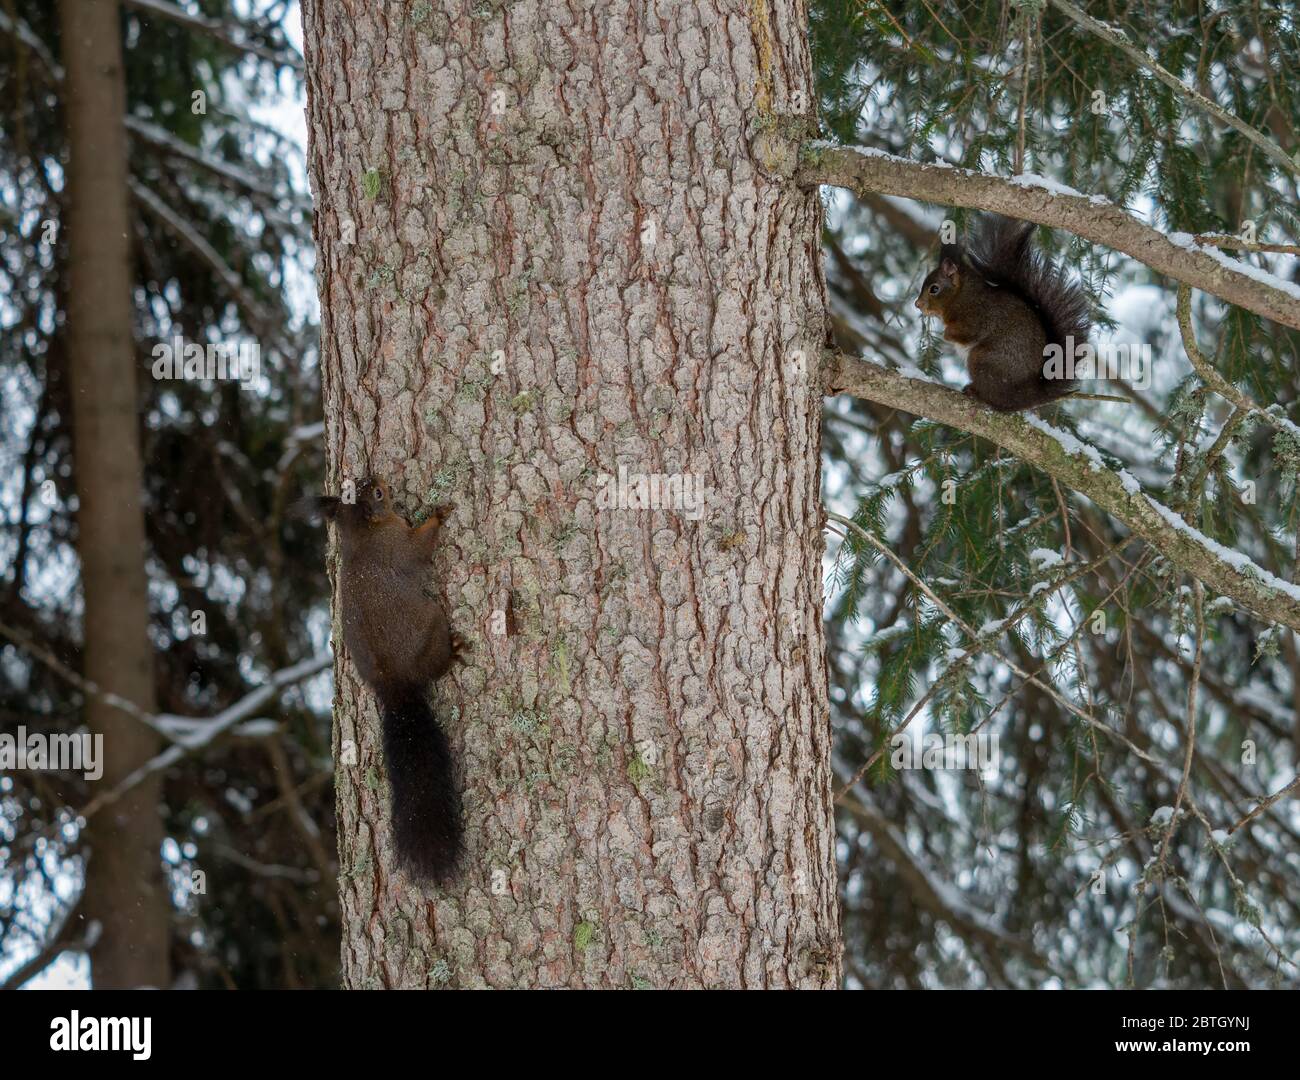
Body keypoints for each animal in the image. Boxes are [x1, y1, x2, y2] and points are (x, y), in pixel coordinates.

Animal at [294, 477, 464, 883]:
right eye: (376, 494)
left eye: (356, 485)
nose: (380, 479)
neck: (362, 533)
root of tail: (396, 688)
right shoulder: (399, 545)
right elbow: (420, 548)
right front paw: (438, 515)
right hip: (431, 625)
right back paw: (452, 651)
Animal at [914, 213, 1091, 412]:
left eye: (934, 289)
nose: (917, 304)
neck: (961, 296)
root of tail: (1029, 393)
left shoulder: (975, 316)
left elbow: (967, 333)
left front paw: (946, 334)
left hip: (983, 360)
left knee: (994, 399)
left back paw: (975, 392)